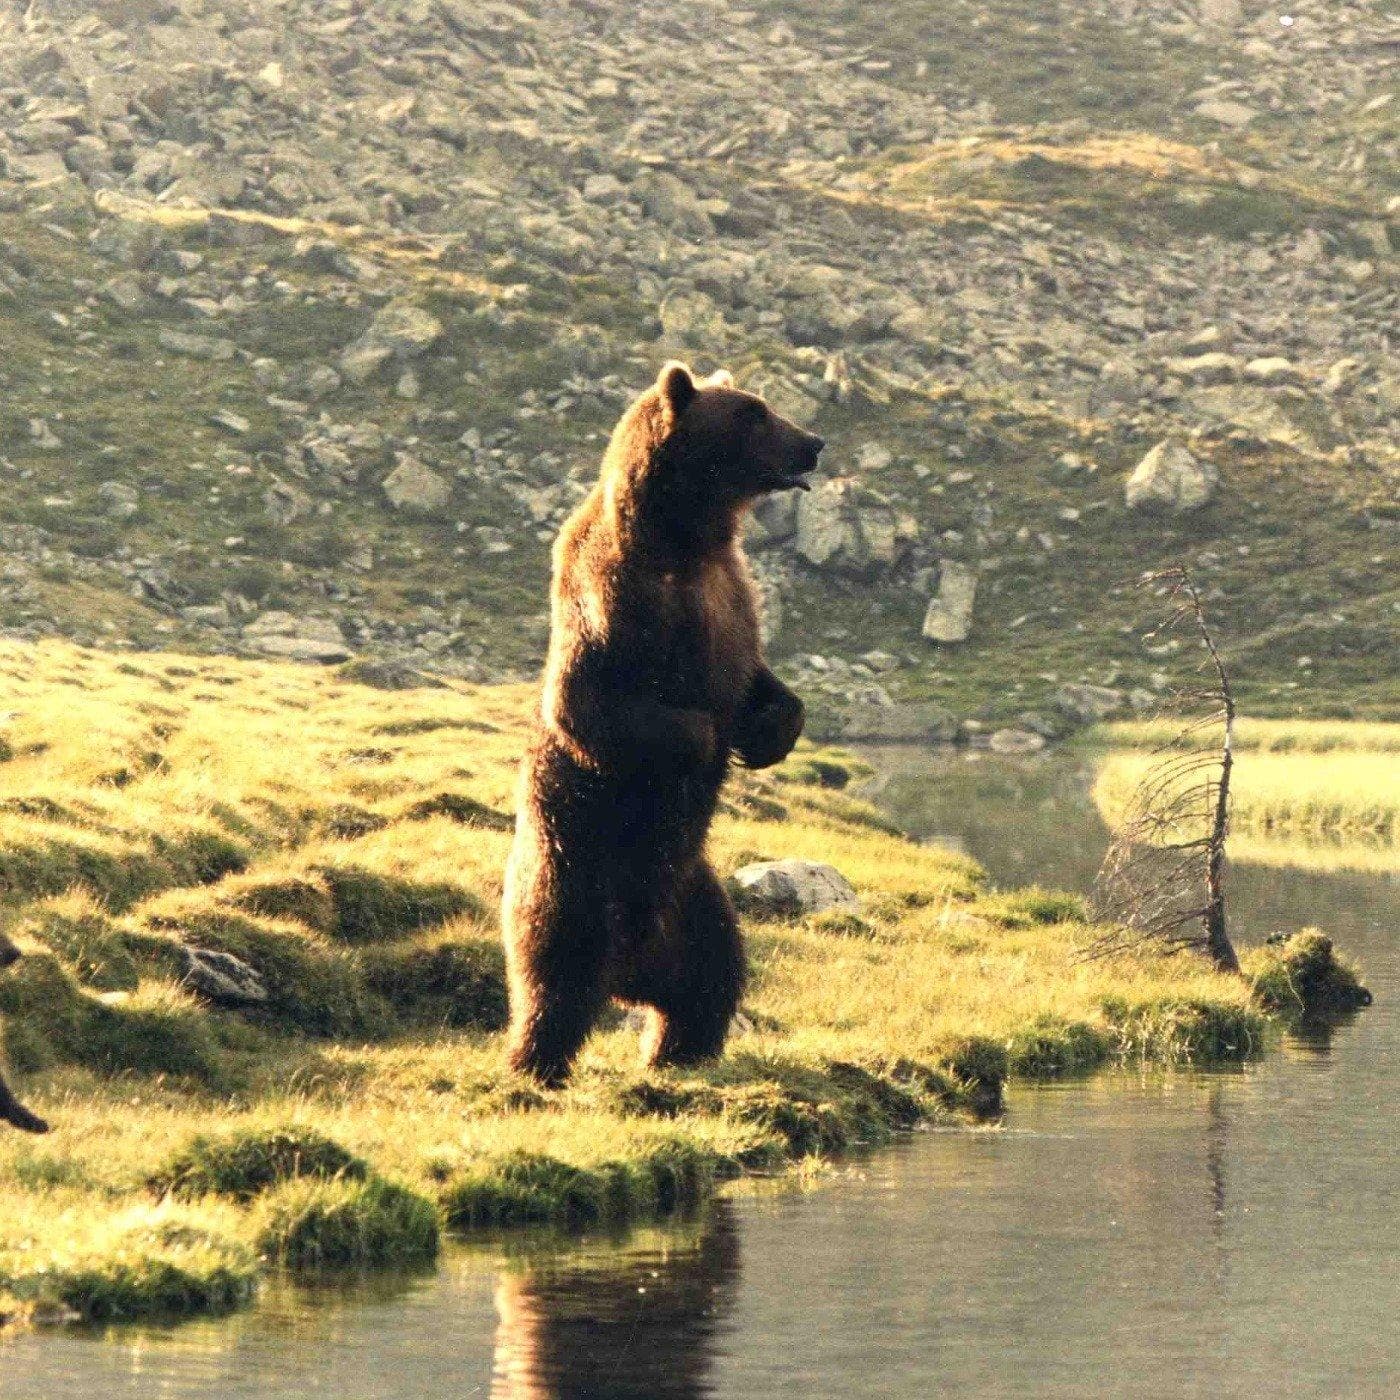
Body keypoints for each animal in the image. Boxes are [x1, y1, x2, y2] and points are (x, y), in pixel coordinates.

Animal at [502, 360, 823, 1086]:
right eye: (755, 413)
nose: (814, 442)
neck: (688, 534)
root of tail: (630, 974)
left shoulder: (733, 594)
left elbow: (757, 676)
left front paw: (772, 731)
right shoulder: (617, 596)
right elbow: (588, 702)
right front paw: (704, 740)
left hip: (695, 899)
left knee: (713, 975)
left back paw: (680, 1049)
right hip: (577, 874)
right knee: (554, 982)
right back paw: (534, 1064)